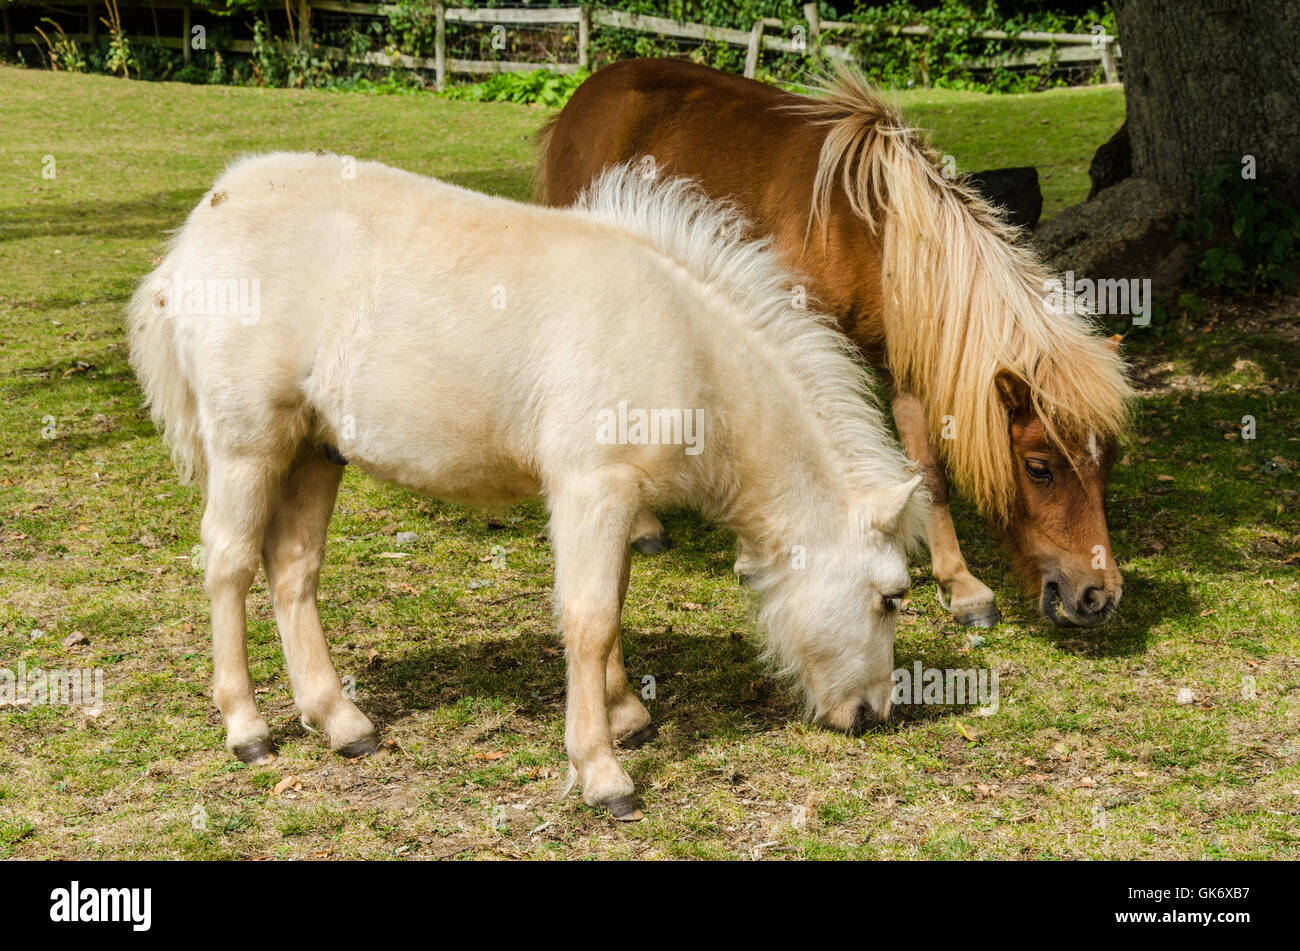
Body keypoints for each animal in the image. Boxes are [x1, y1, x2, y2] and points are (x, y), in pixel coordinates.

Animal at [127, 152, 927, 819]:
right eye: (892, 597)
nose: (875, 714)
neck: (687, 349)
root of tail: (195, 234)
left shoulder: (619, 495)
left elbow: (612, 603)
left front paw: (627, 716)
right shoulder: (592, 484)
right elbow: (589, 616)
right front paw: (602, 772)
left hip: (315, 450)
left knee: (293, 569)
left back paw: (341, 721)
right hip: (248, 443)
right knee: (229, 562)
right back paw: (247, 728)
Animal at [536, 59, 1133, 629]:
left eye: (1109, 463)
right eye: (1039, 467)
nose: (1097, 598)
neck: (870, 231)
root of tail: (588, 93)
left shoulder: (904, 366)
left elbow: (928, 475)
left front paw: (962, 588)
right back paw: (641, 524)